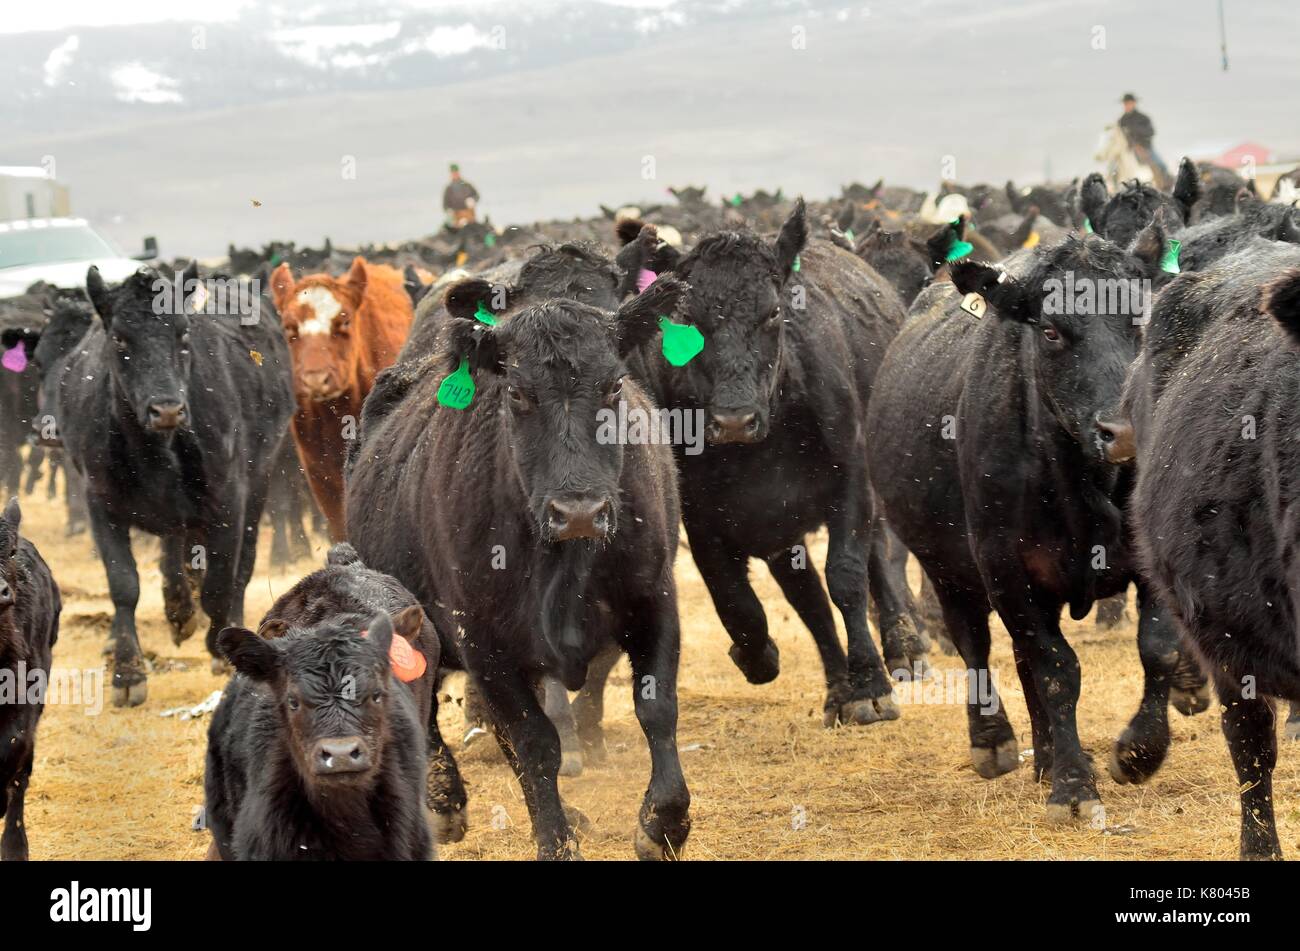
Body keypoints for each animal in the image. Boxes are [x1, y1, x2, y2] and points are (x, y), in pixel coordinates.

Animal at [61, 263, 293, 705]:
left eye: (183, 335)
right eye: (119, 338)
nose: (167, 409)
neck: (153, 450)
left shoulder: (229, 499)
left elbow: (220, 583)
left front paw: (221, 650)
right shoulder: (100, 502)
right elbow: (124, 585)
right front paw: (127, 673)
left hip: (261, 482)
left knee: (240, 567)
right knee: (174, 553)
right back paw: (177, 612)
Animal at [345, 277, 693, 860]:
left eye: (614, 387)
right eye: (517, 394)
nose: (580, 511)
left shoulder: (654, 602)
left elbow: (657, 709)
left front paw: (662, 824)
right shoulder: (485, 642)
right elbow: (533, 743)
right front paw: (554, 841)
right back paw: (445, 802)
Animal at [614, 202, 926, 728]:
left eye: (774, 311)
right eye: (688, 318)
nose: (734, 419)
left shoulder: (851, 484)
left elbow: (847, 577)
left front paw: (871, 686)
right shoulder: (708, 522)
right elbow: (738, 602)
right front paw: (756, 656)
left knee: (874, 564)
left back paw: (903, 646)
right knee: (809, 600)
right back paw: (836, 689)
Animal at [867, 225, 1201, 823]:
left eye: (1139, 322)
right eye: (1050, 331)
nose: (1122, 430)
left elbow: (1157, 647)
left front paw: (1138, 752)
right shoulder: (1006, 570)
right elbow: (1056, 670)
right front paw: (1073, 789)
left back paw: (1046, 755)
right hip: (949, 570)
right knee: (976, 644)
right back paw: (995, 741)